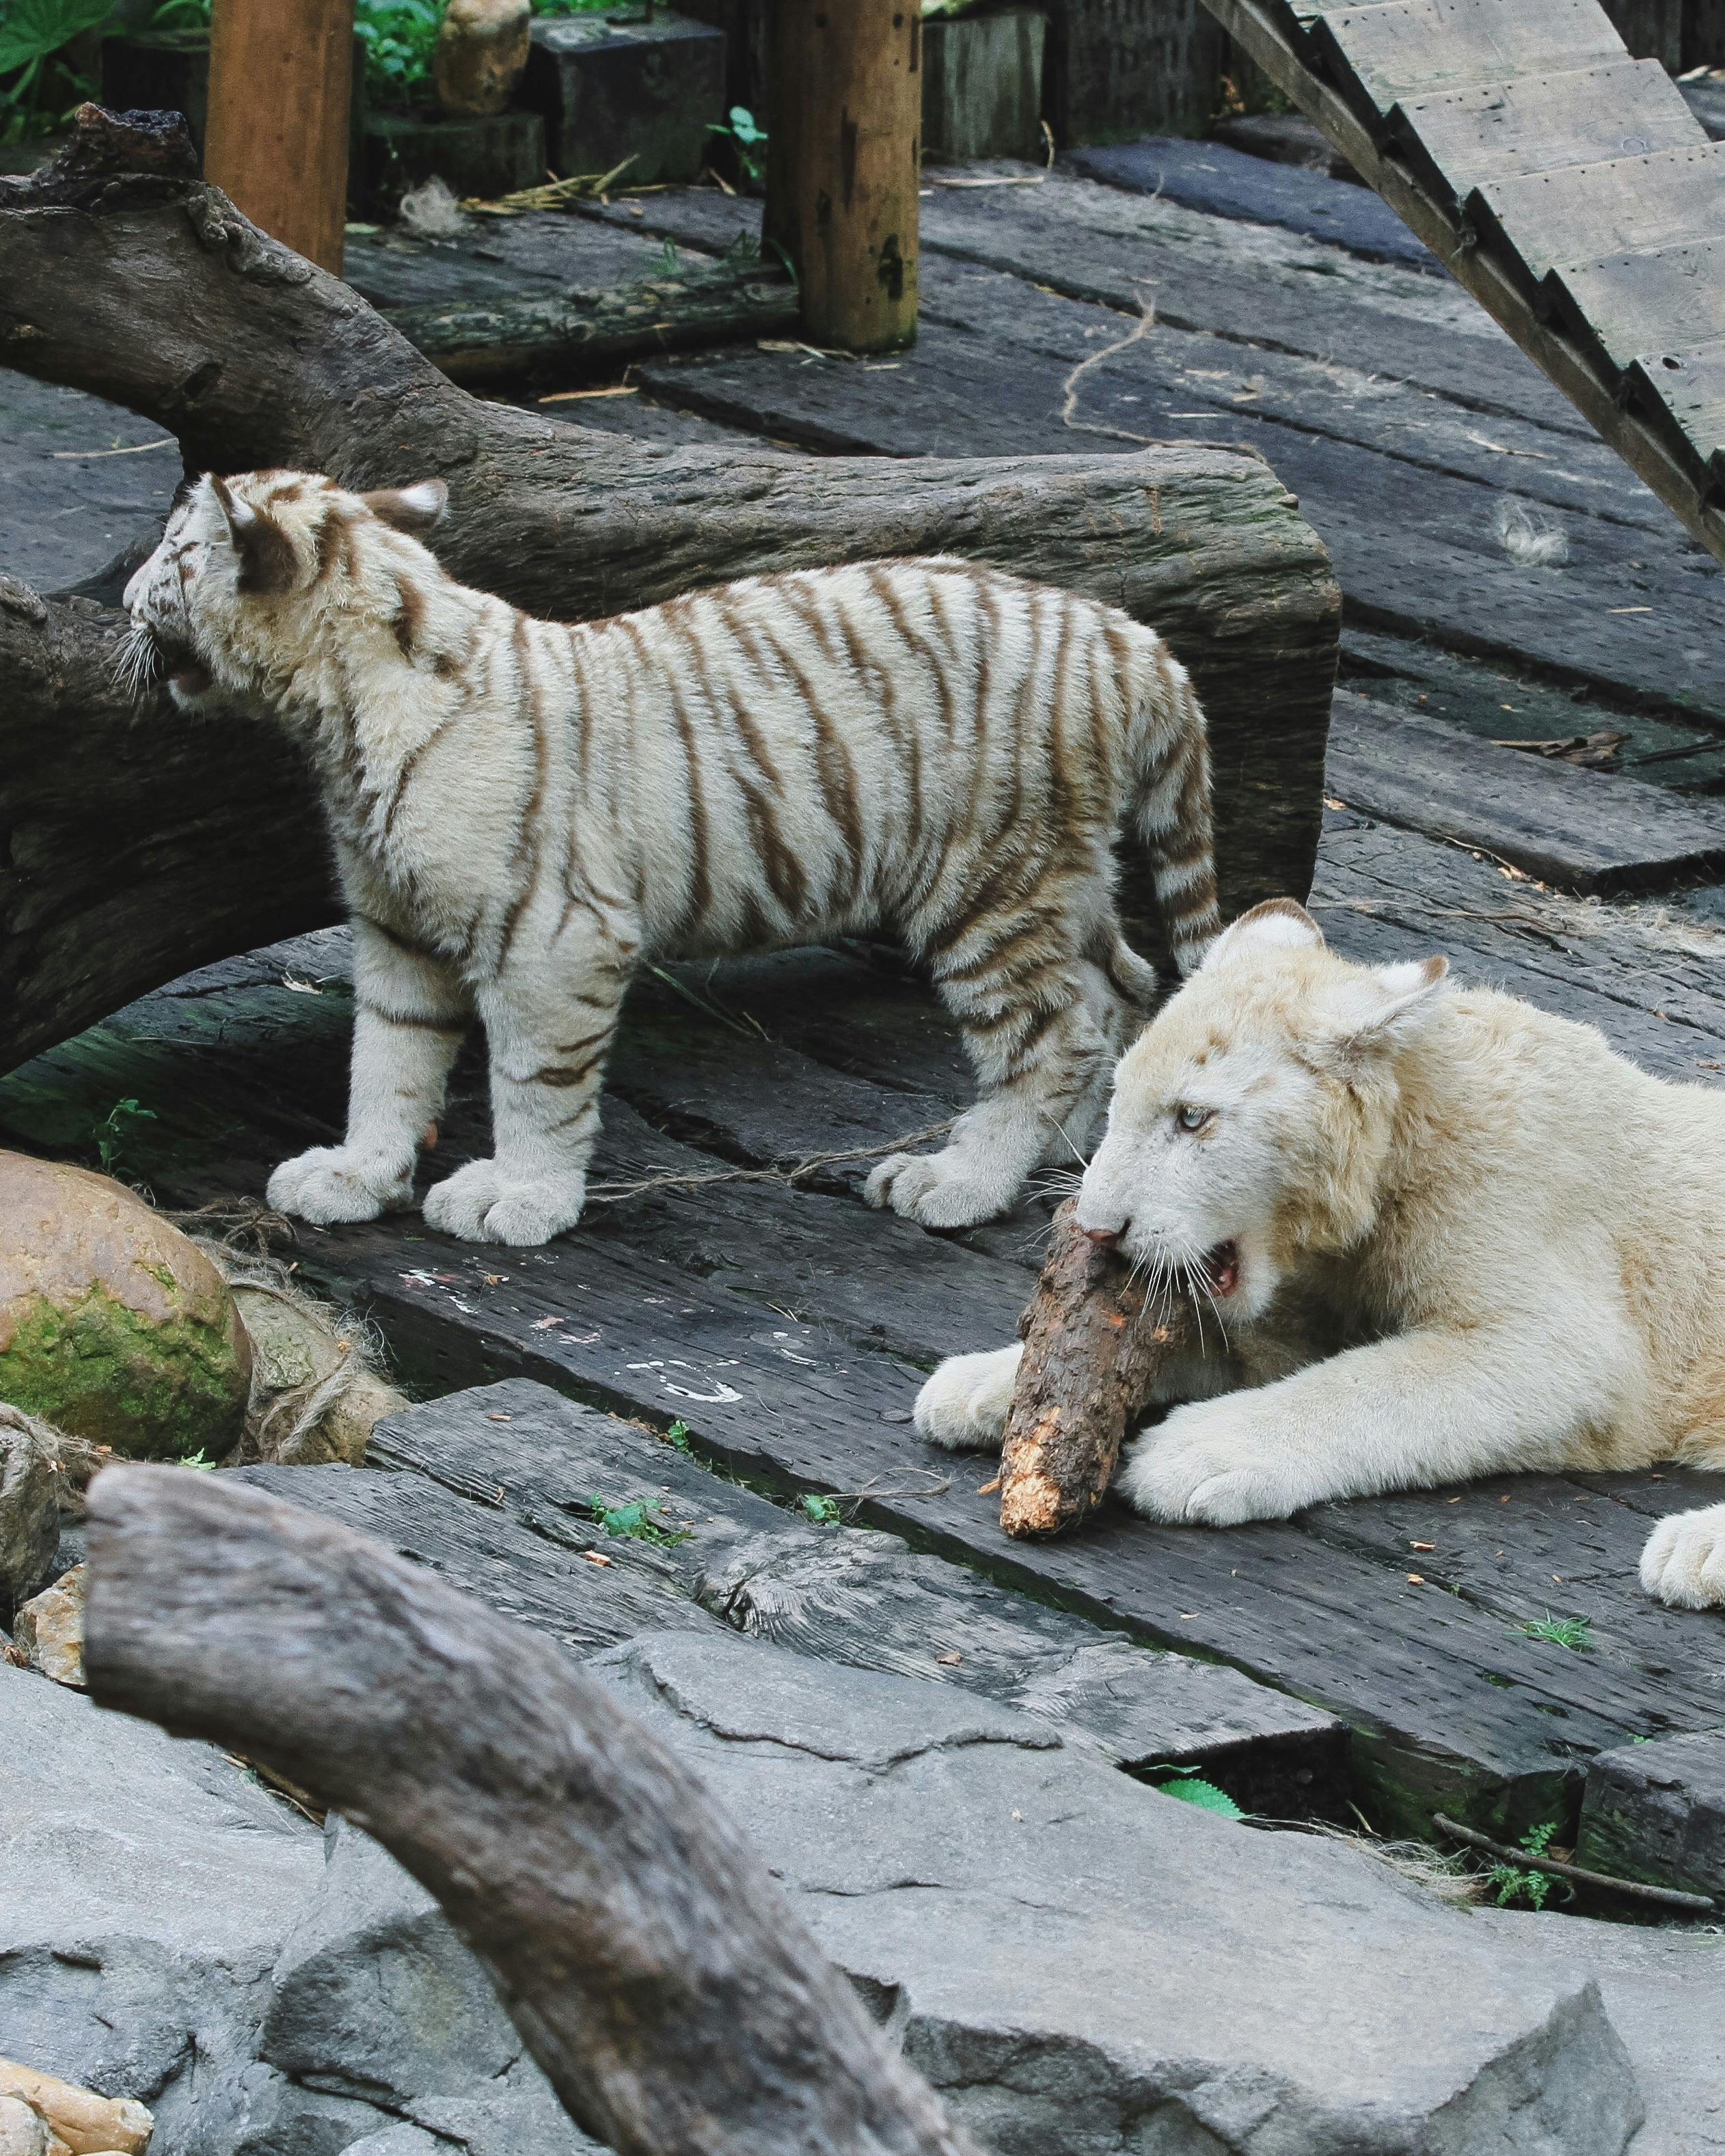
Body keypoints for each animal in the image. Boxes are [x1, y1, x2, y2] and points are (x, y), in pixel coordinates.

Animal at [120, 468, 1221, 1247]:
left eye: (173, 552)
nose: (126, 596)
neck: (344, 716)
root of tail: (1130, 639)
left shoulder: (552, 939)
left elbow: (534, 1082)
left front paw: (520, 1197)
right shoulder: (399, 927)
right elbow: (385, 1059)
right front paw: (356, 1174)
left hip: (986, 878)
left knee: (1053, 1032)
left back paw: (961, 1179)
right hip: (1061, 875)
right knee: (1118, 988)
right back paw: (1077, 1152)